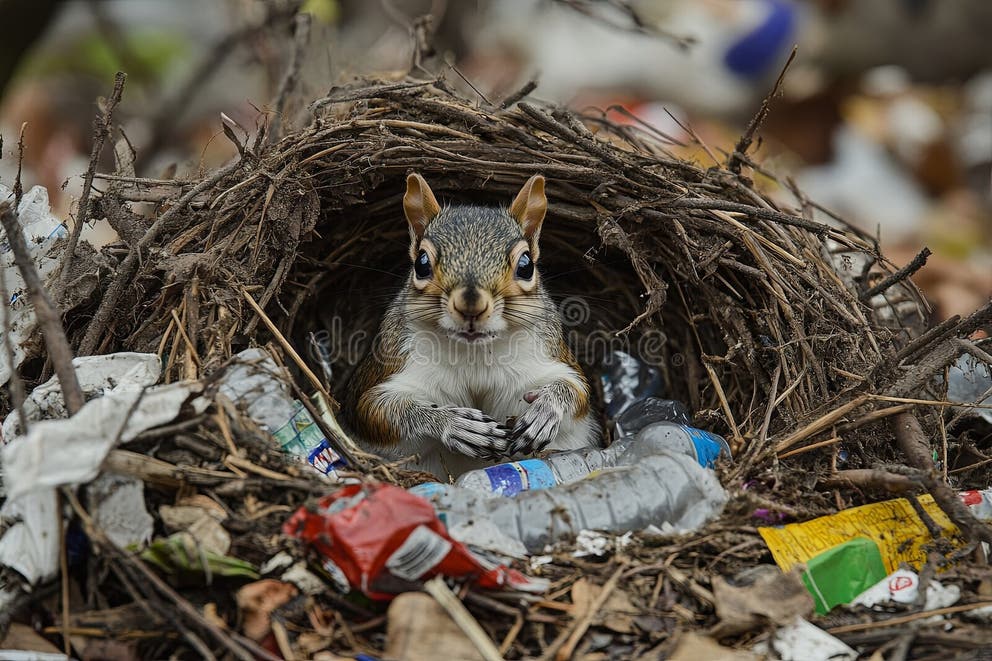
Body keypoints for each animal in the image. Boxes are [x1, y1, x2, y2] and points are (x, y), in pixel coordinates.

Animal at [344, 173, 600, 478]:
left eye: (526, 265)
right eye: (421, 263)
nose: (471, 306)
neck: (475, 353)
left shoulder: (549, 359)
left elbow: (576, 389)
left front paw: (545, 410)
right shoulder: (390, 370)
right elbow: (378, 412)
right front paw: (452, 422)